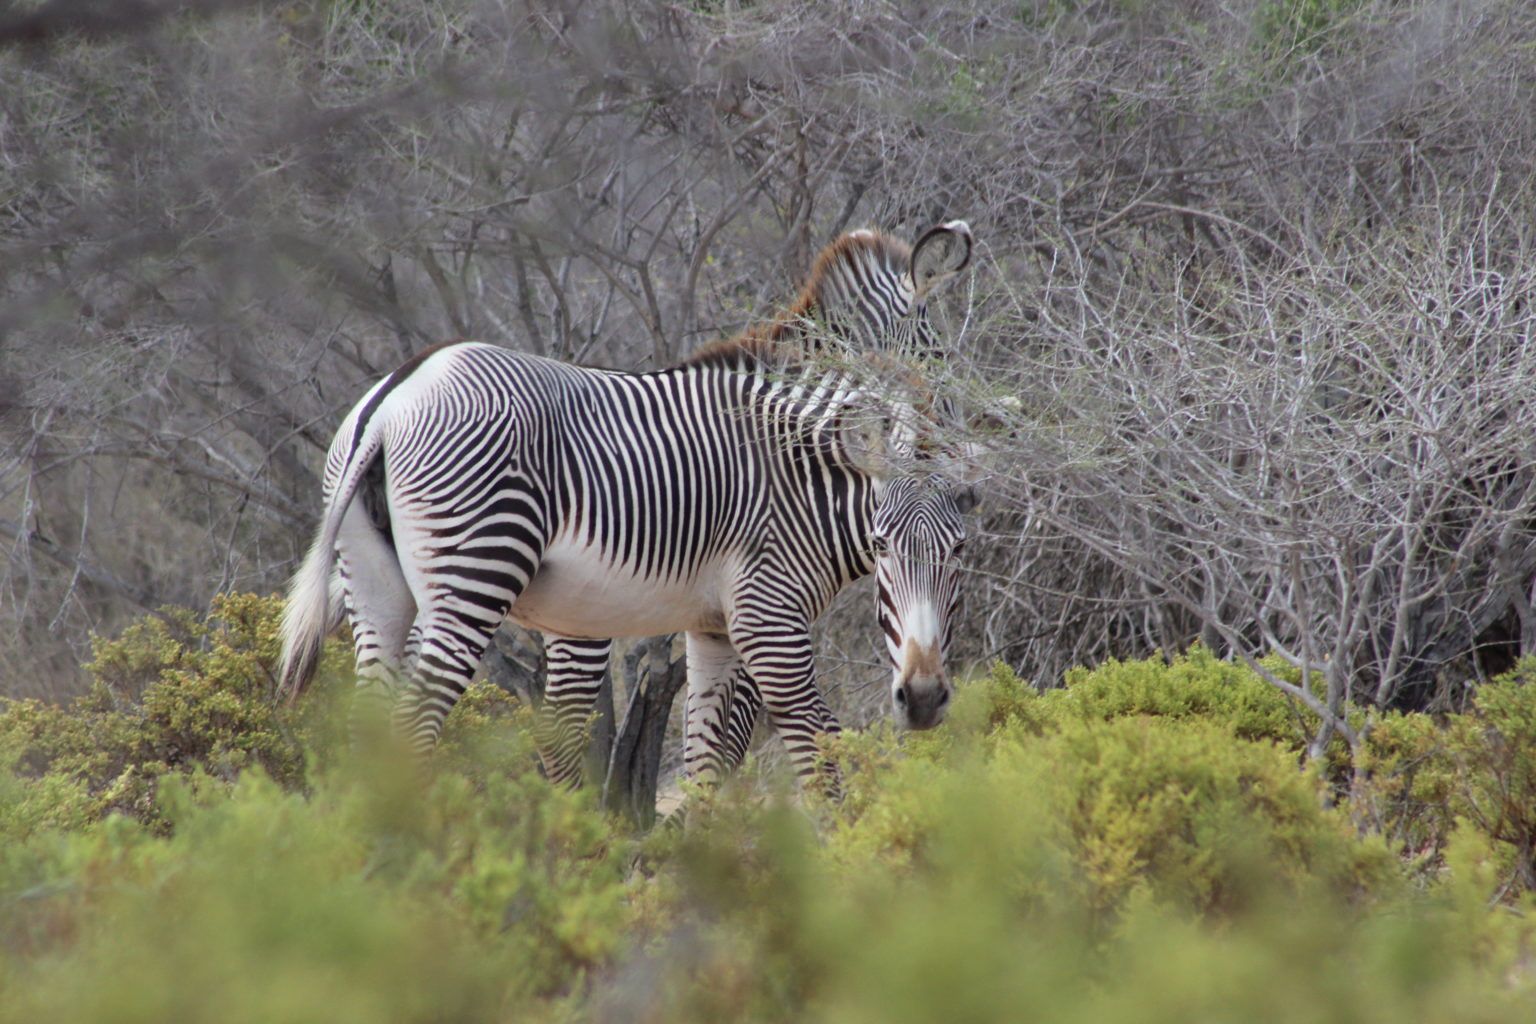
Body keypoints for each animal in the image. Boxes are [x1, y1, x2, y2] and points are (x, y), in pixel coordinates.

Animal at [278, 223, 977, 785]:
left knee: (370, 730)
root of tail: (392, 400)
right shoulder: (768, 616)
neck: (799, 457)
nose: (964, 441)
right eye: (942, 361)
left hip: (376, 585)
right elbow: (820, 751)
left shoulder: (714, 627)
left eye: (959, 552)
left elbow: (707, 764)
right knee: (414, 727)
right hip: (474, 575)